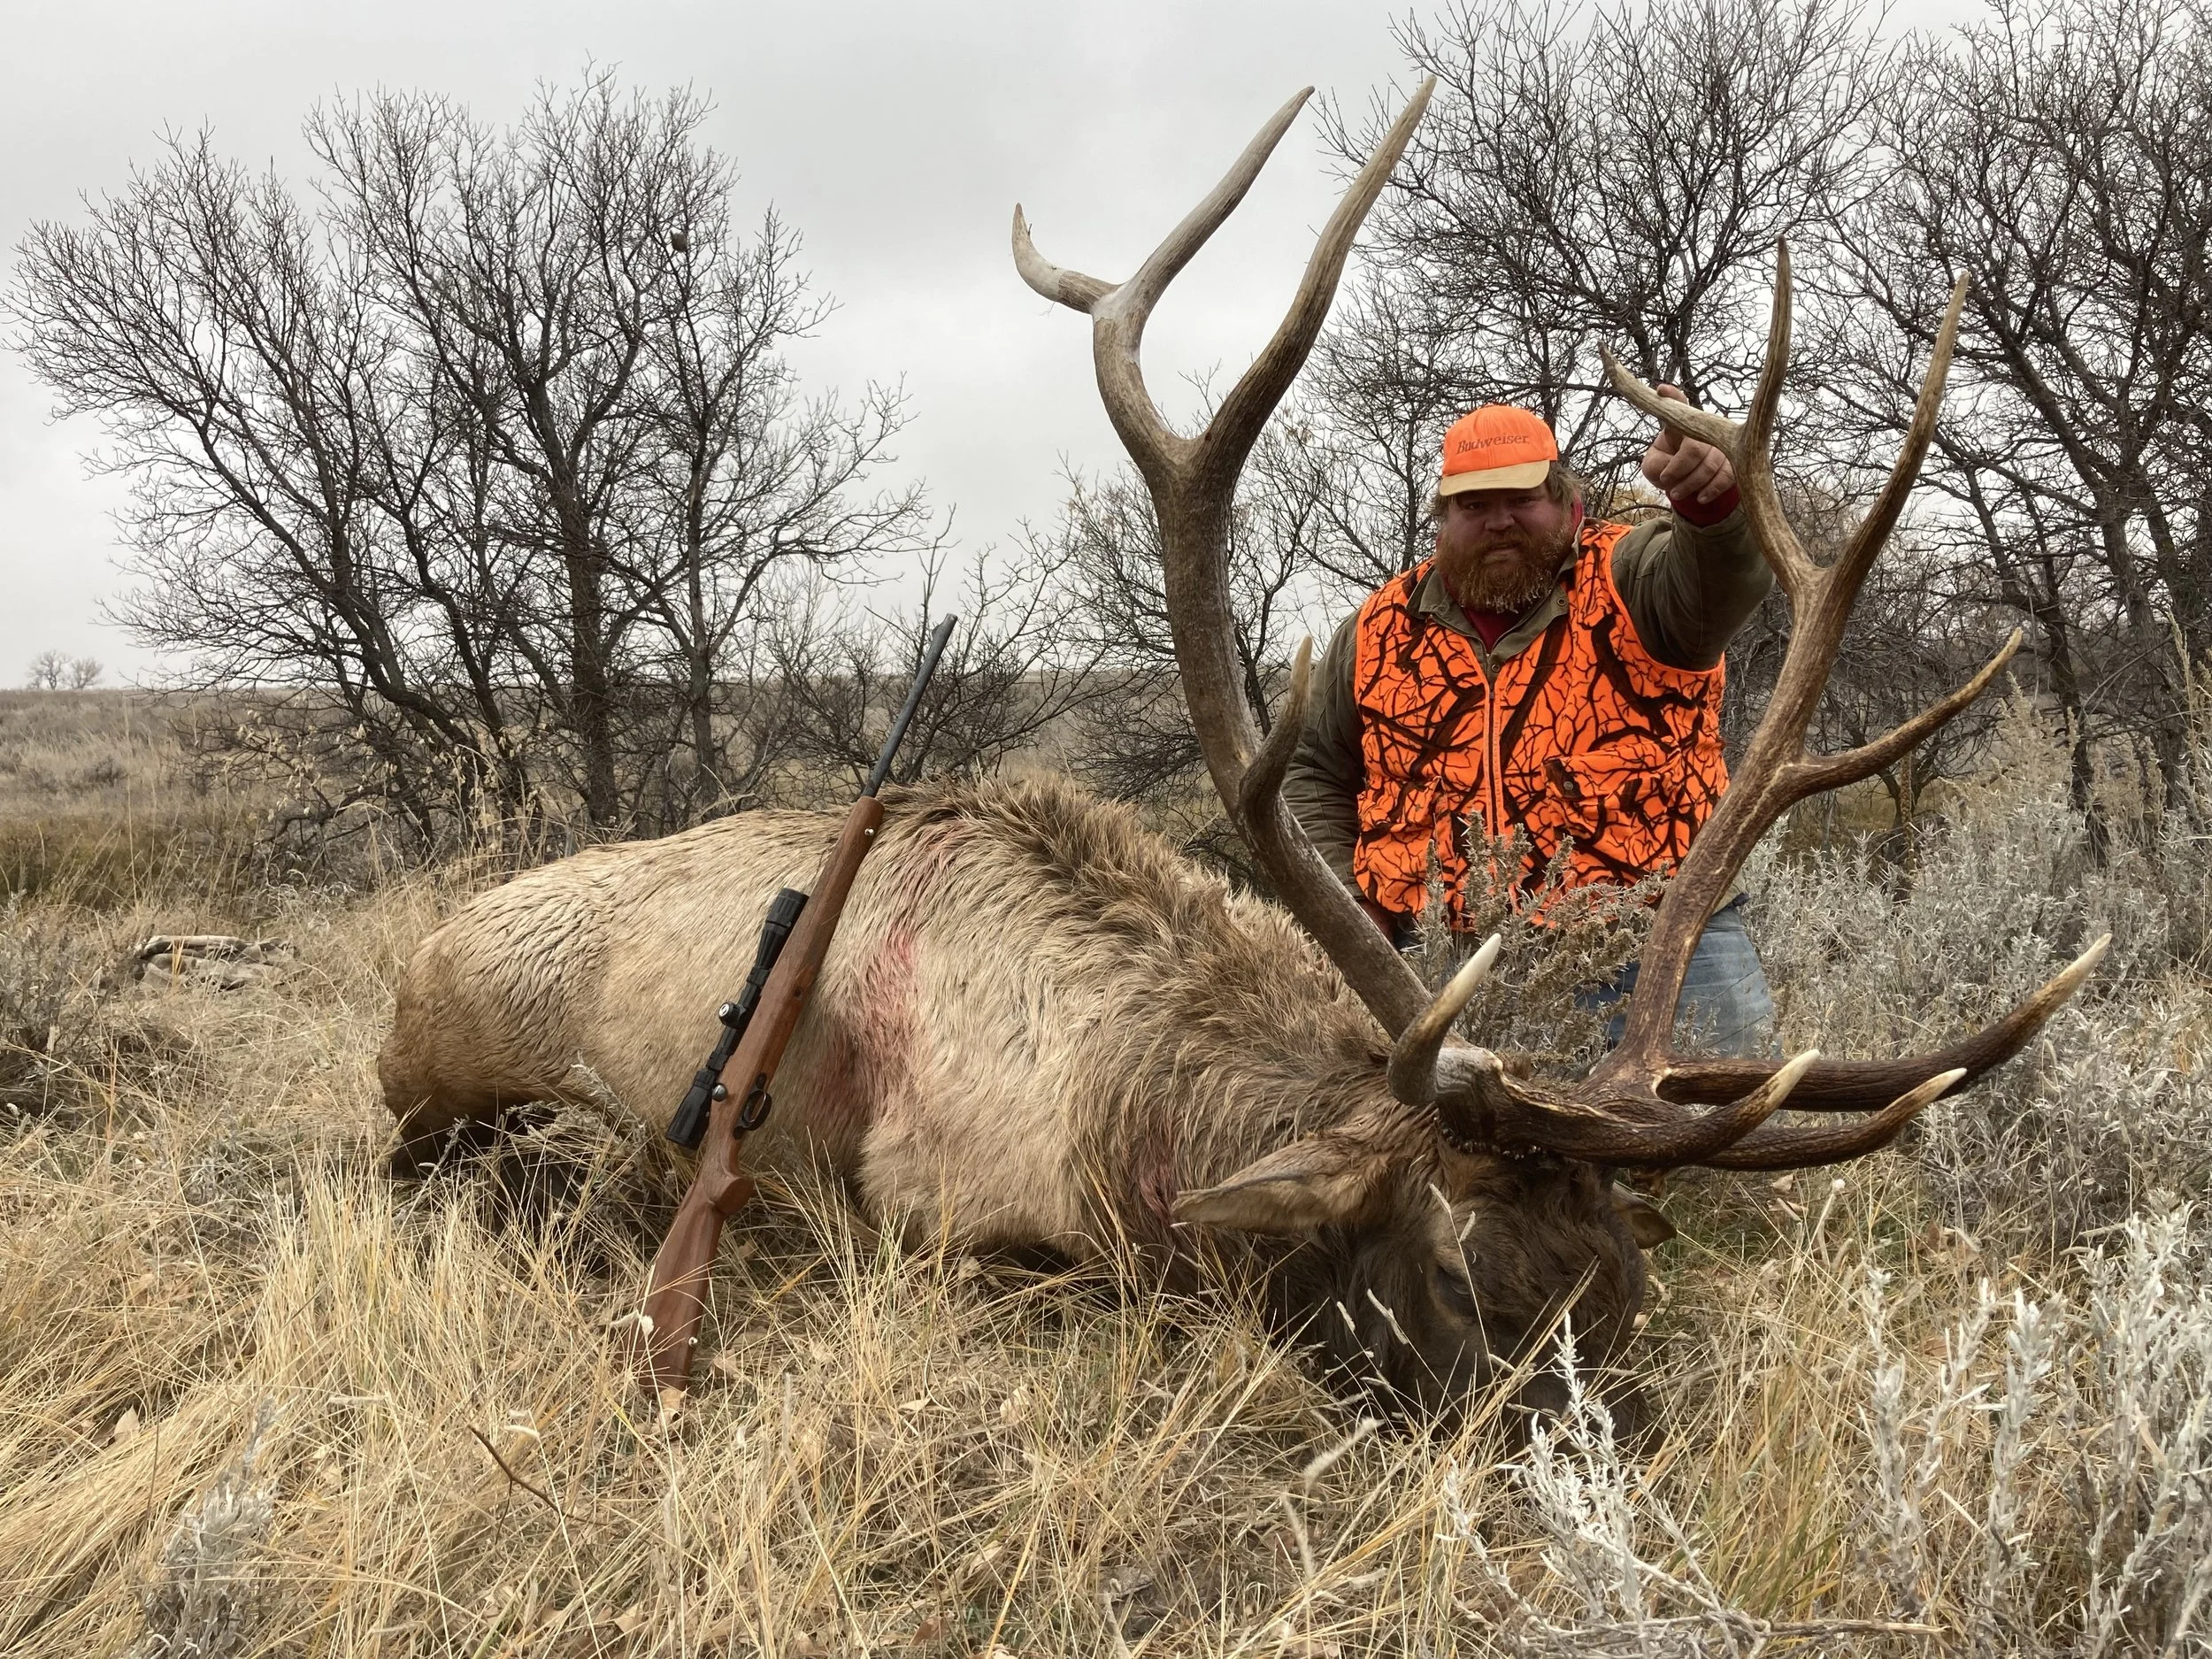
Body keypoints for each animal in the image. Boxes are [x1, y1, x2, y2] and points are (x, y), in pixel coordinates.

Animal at [378, 80, 2104, 1417]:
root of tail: (419, 954)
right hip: (434, 1095)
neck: (1132, 1122)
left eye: (1618, 1292)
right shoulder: (940, 1226)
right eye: (1465, 1278)